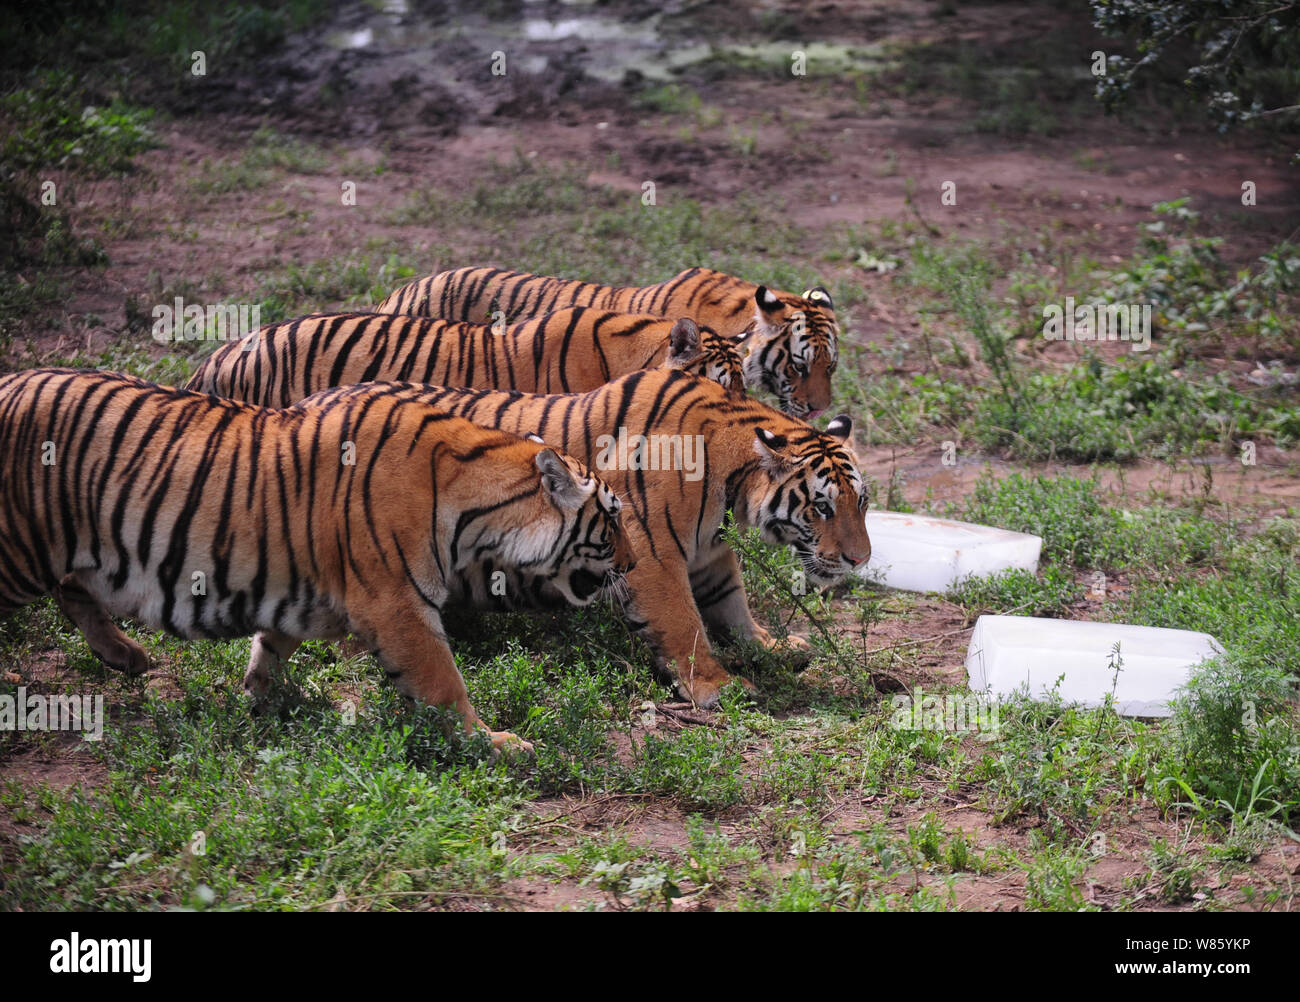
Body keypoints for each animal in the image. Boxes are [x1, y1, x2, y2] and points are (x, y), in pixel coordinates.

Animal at [0, 368, 634, 751]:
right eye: (613, 517)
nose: (630, 564)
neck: (478, 507)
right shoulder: (398, 605)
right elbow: (444, 684)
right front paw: (499, 743)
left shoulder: (295, 592)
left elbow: (269, 648)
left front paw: (259, 702)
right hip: (21, 550)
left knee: (73, 587)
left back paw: (126, 655)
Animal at [278, 369, 871, 707]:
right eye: (822, 507)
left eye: (861, 503)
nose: (859, 560)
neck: (732, 480)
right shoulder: (652, 551)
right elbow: (687, 625)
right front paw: (716, 687)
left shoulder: (711, 552)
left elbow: (733, 605)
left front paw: (771, 647)